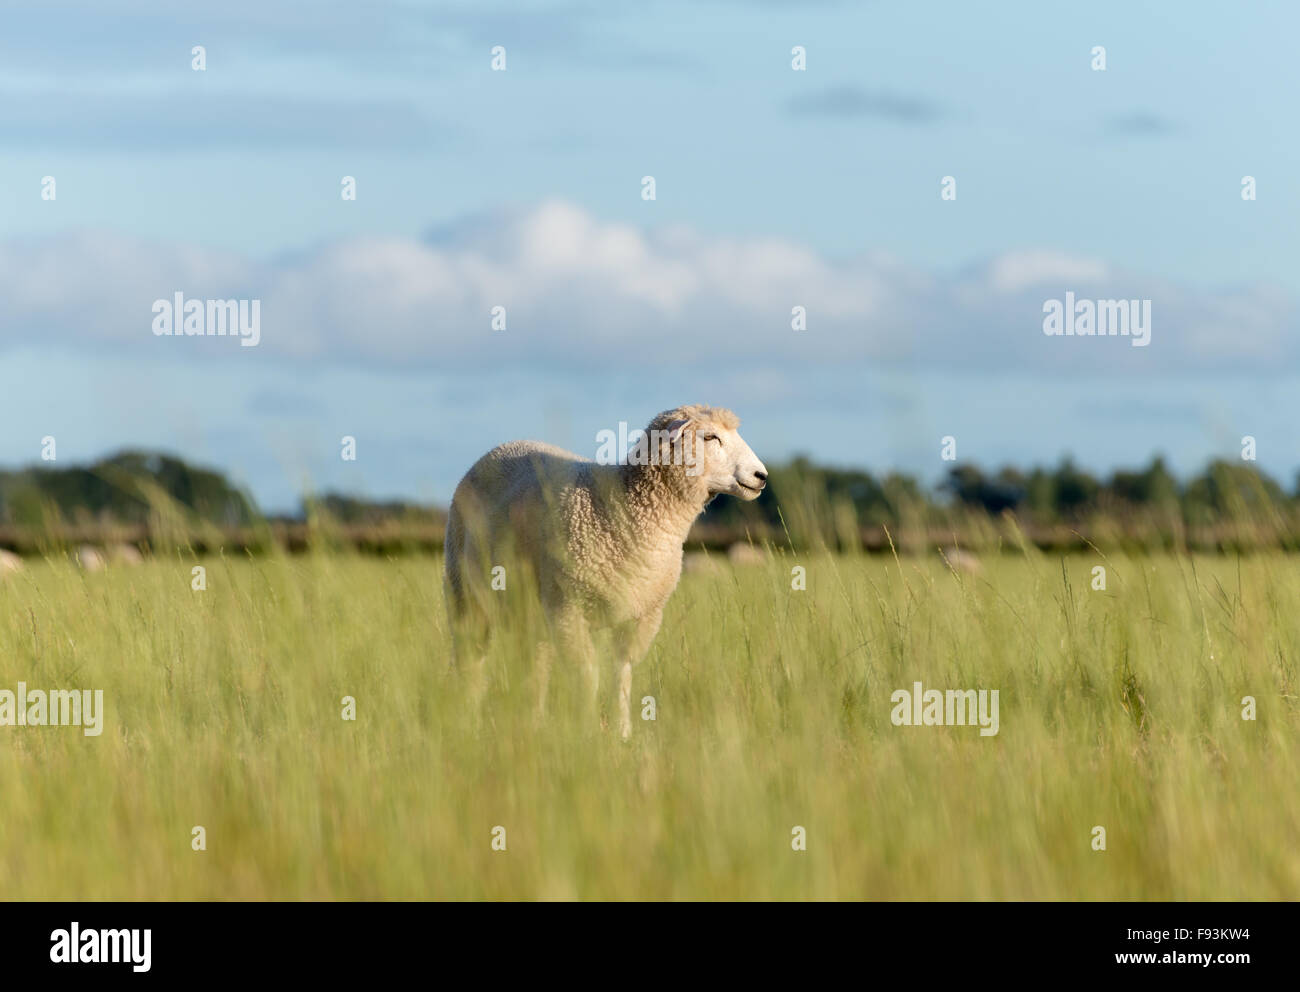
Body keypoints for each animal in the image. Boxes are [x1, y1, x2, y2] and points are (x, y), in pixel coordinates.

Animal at [444, 404, 768, 738]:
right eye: (710, 436)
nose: (762, 476)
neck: (625, 505)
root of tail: (504, 445)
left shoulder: (640, 616)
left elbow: (620, 673)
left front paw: (622, 731)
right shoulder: (570, 610)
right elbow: (587, 675)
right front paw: (588, 731)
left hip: (530, 610)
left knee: (534, 663)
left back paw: (533, 720)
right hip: (465, 592)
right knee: (470, 657)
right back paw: (468, 717)